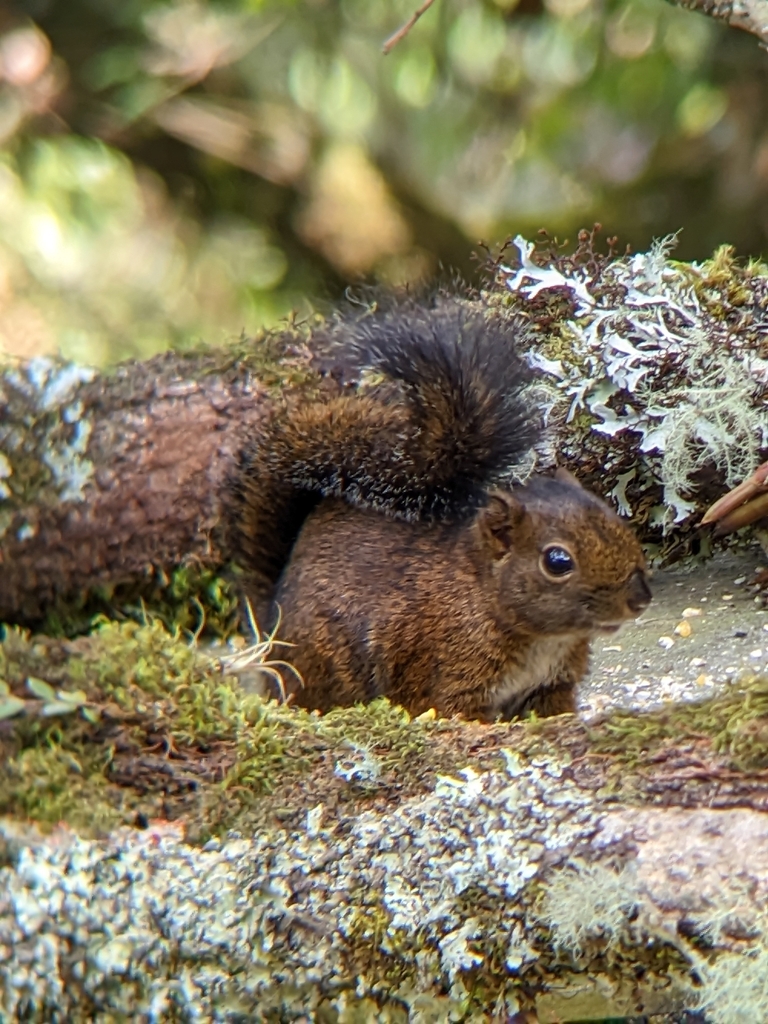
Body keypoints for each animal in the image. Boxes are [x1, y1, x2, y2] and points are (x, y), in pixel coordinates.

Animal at [230, 296, 652, 720]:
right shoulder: (442, 675)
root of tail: (272, 628)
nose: (640, 598)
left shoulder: (552, 684)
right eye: (557, 561)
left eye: (612, 516)